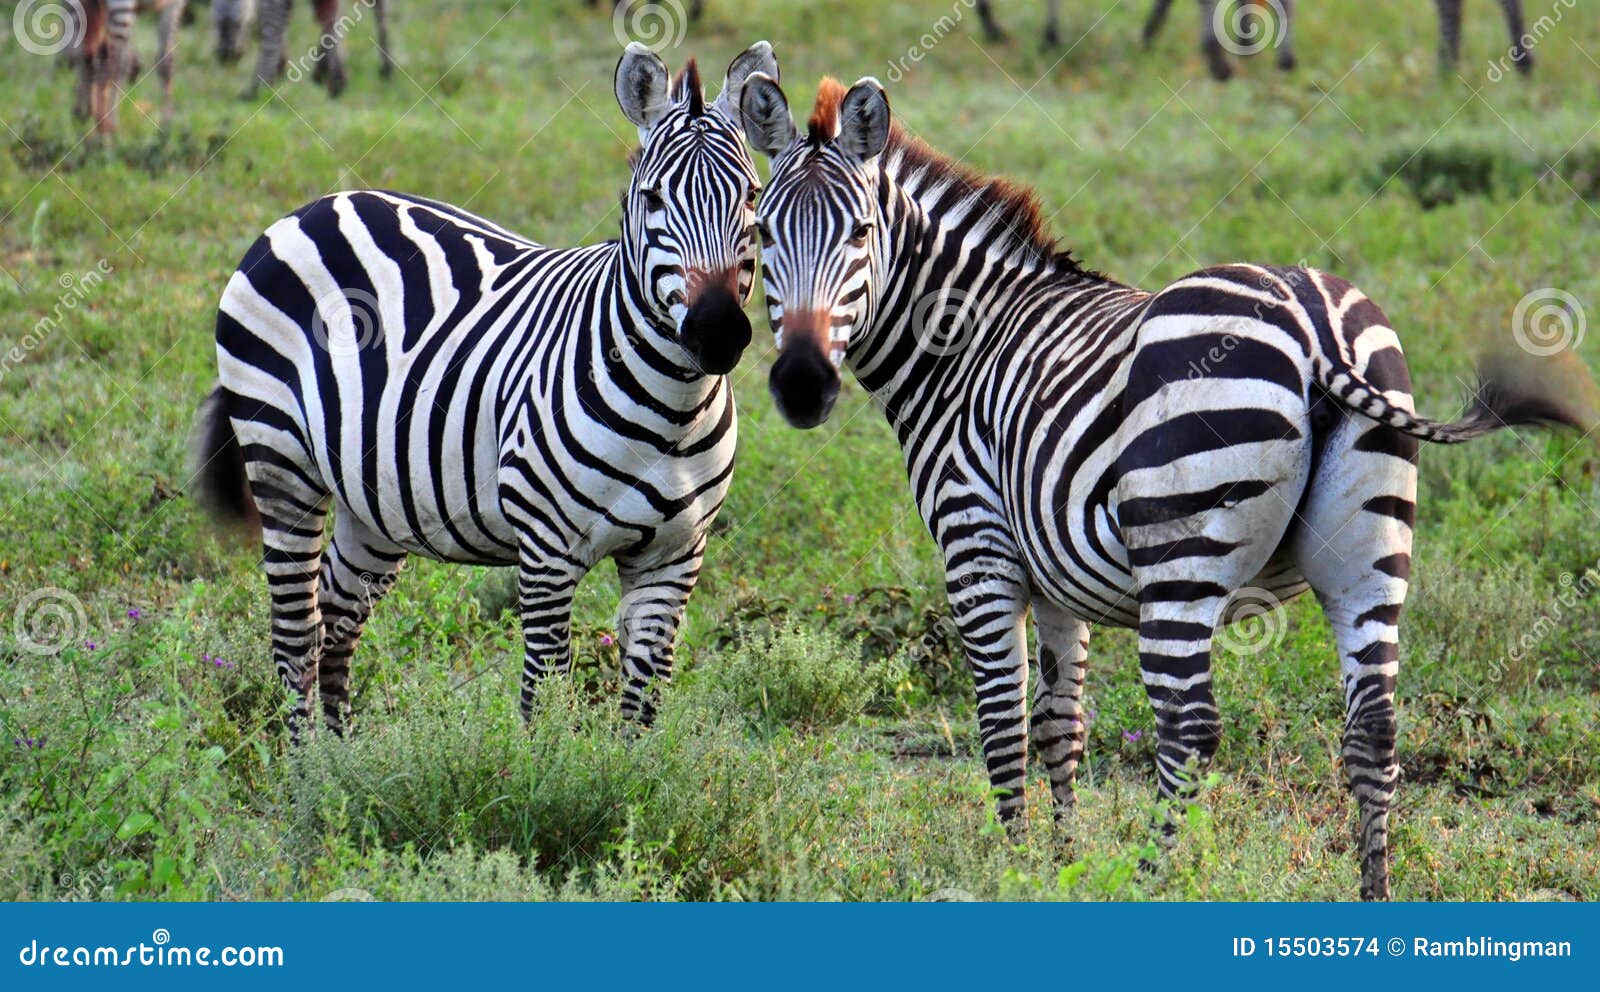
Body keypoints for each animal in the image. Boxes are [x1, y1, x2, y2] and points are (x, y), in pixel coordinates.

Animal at [190, 41, 778, 737]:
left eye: (752, 196)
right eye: (654, 198)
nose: (718, 333)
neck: (674, 409)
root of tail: (317, 205)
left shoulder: (674, 557)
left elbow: (642, 704)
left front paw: (626, 764)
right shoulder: (548, 549)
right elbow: (543, 693)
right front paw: (547, 766)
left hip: (374, 495)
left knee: (336, 614)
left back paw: (344, 754)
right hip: (280, 457)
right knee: (295, 630)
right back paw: (308, 761)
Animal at [737, 74, 1584, 899]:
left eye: (860, 234)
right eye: (763, 235)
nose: (803, 385)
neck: (967, 342)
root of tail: (1313, 325)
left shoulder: (976, 545)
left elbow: (1002, 720)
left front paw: (1013, 869)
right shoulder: (1053, 576)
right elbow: (1061, 724)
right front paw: (1061, 866)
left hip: (1183, 553)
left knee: (1188, 727)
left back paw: (1151, 879)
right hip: (1370, 549)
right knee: (1373, 725)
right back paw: (1373, 893)